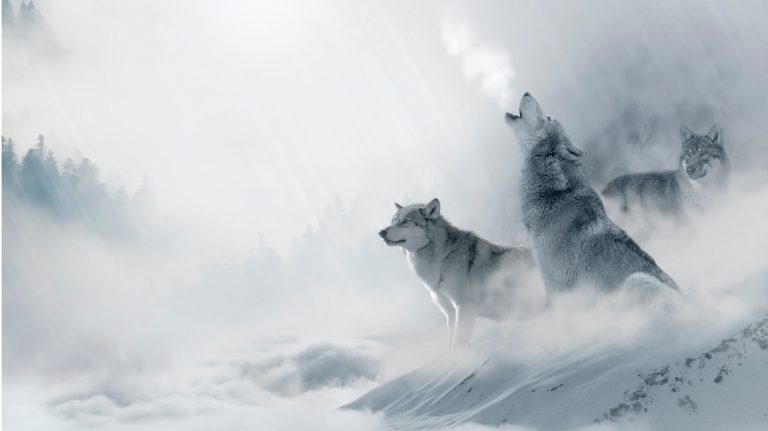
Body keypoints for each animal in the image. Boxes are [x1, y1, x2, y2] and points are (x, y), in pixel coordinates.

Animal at [379, 198, 545, 348]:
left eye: (405, 221)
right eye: (393, 221)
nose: (381, 232)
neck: (442, 260)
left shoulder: (464, 308)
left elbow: (458, 344)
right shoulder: (450, 313)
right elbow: (450, 344)